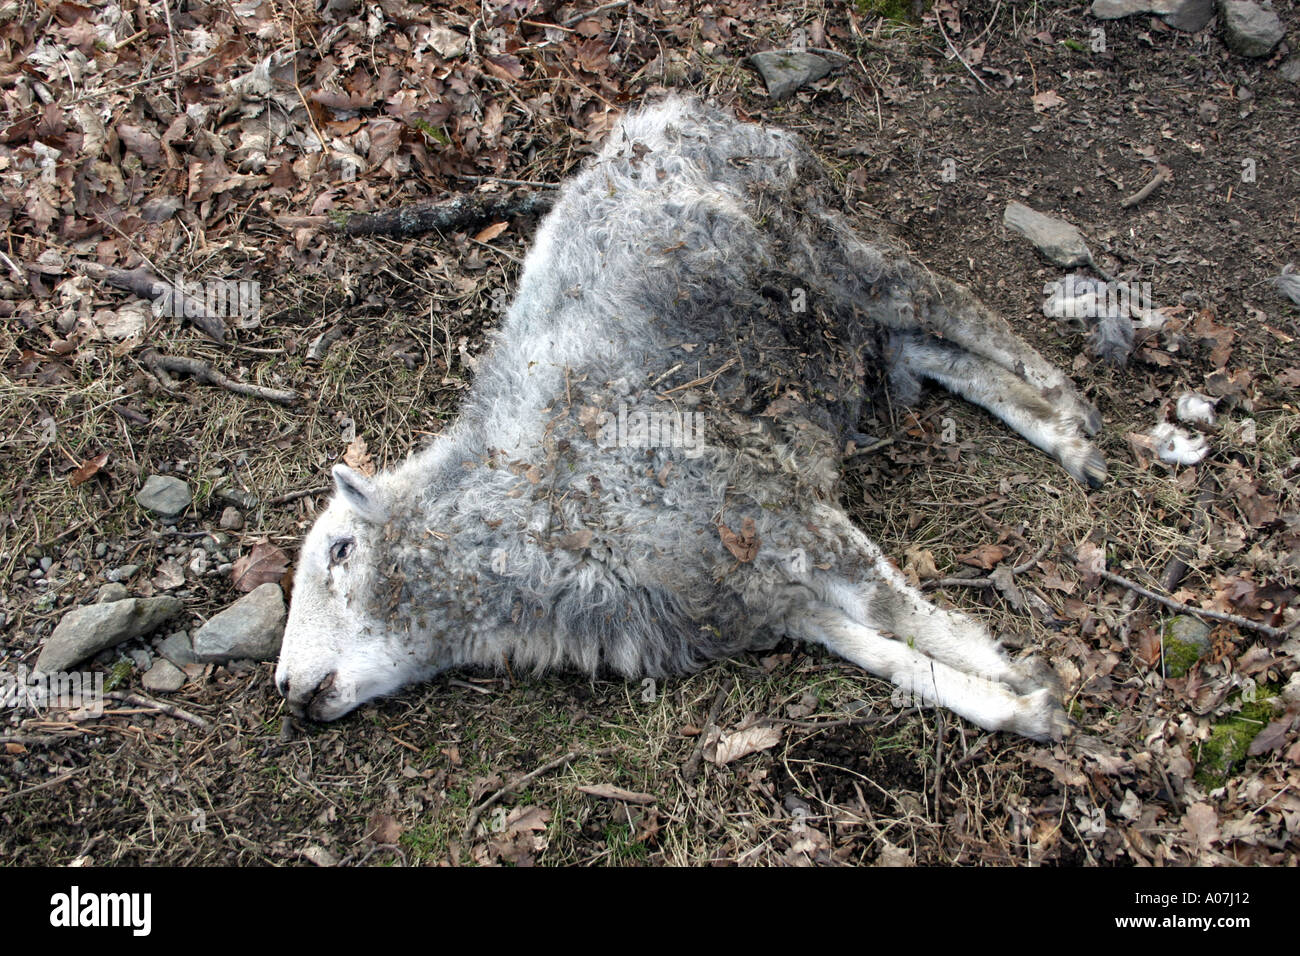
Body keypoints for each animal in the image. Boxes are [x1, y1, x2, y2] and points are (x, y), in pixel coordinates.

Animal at [275, 97, 1108, 740]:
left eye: (342, 551)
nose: (286, 686)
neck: (533, 505)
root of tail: (676, 111)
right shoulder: (760, 598)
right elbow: (886, 651)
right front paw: (1022, 707)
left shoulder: (778, 513)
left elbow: (904, 614)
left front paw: (1013, 674)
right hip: (834, 318)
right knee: (926, 347)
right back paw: (1055, 425)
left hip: (836, 249)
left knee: (949, 303)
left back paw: (1067, 407)